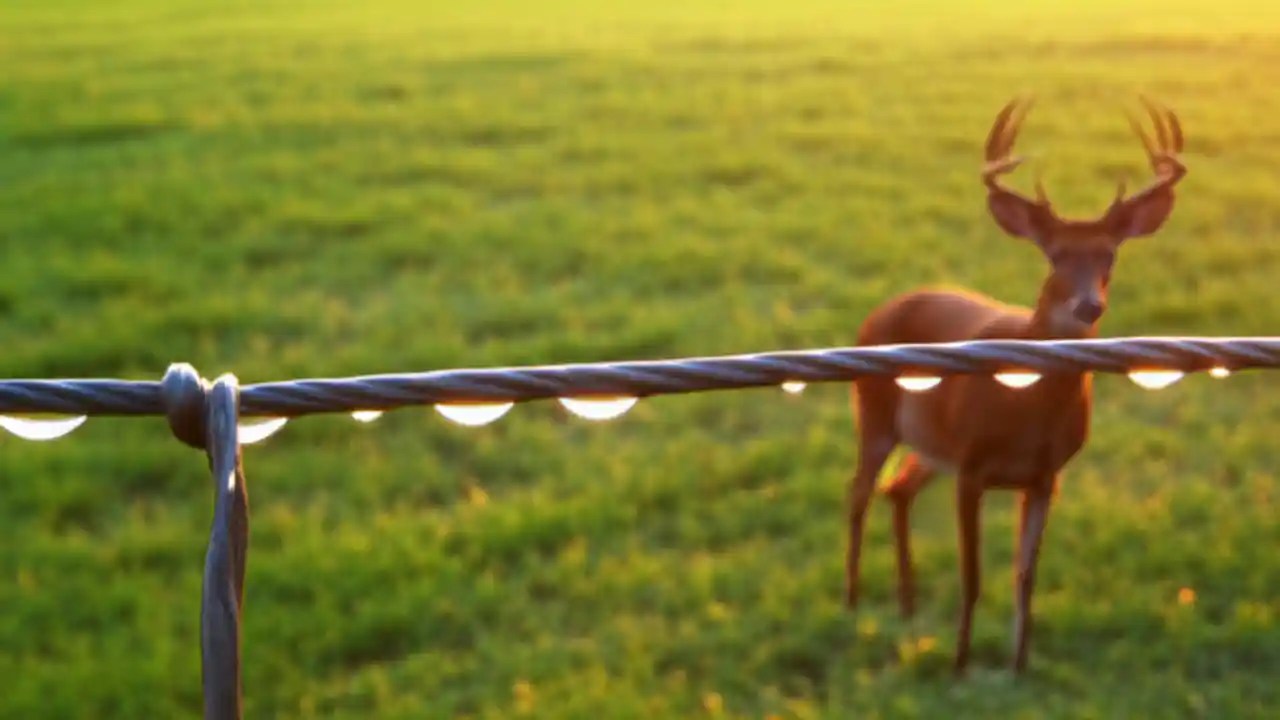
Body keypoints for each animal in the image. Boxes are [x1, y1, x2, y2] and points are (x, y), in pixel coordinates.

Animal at [843, 97, 1187, 674]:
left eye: (1109, 255)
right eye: (1054, 255)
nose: (1089, 306)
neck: (1027, 410)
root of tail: (881, 310)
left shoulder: (1045, 476)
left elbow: (1025, 577)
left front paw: (1020, 664)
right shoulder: (972, 467)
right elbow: (973, 575)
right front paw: (960, 665)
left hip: (931, 445)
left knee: (898, 489)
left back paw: (907, 604)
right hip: (875, 412)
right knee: (859, 492)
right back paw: (850, 602)